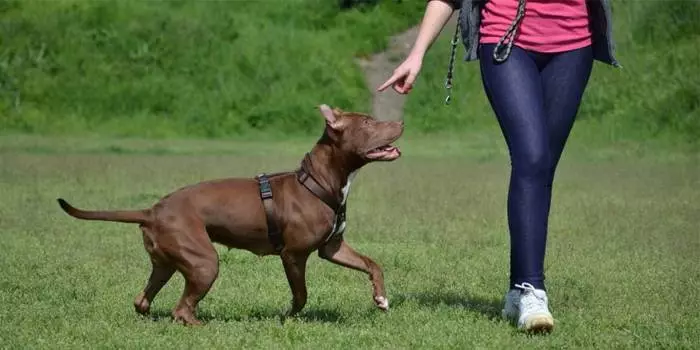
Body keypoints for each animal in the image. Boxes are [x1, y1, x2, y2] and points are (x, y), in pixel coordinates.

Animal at [59, 104, 404, 326]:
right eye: (369, 123)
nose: (401, 123)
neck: (318, 182)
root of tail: (152, 210)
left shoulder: (331, 247)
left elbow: (372, 264)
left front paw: (381, 299)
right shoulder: (293, 255)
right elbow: (301, 294)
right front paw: (287, 317)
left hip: (167, 262)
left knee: (143, 299)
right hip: (204, 262)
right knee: (181, 309)